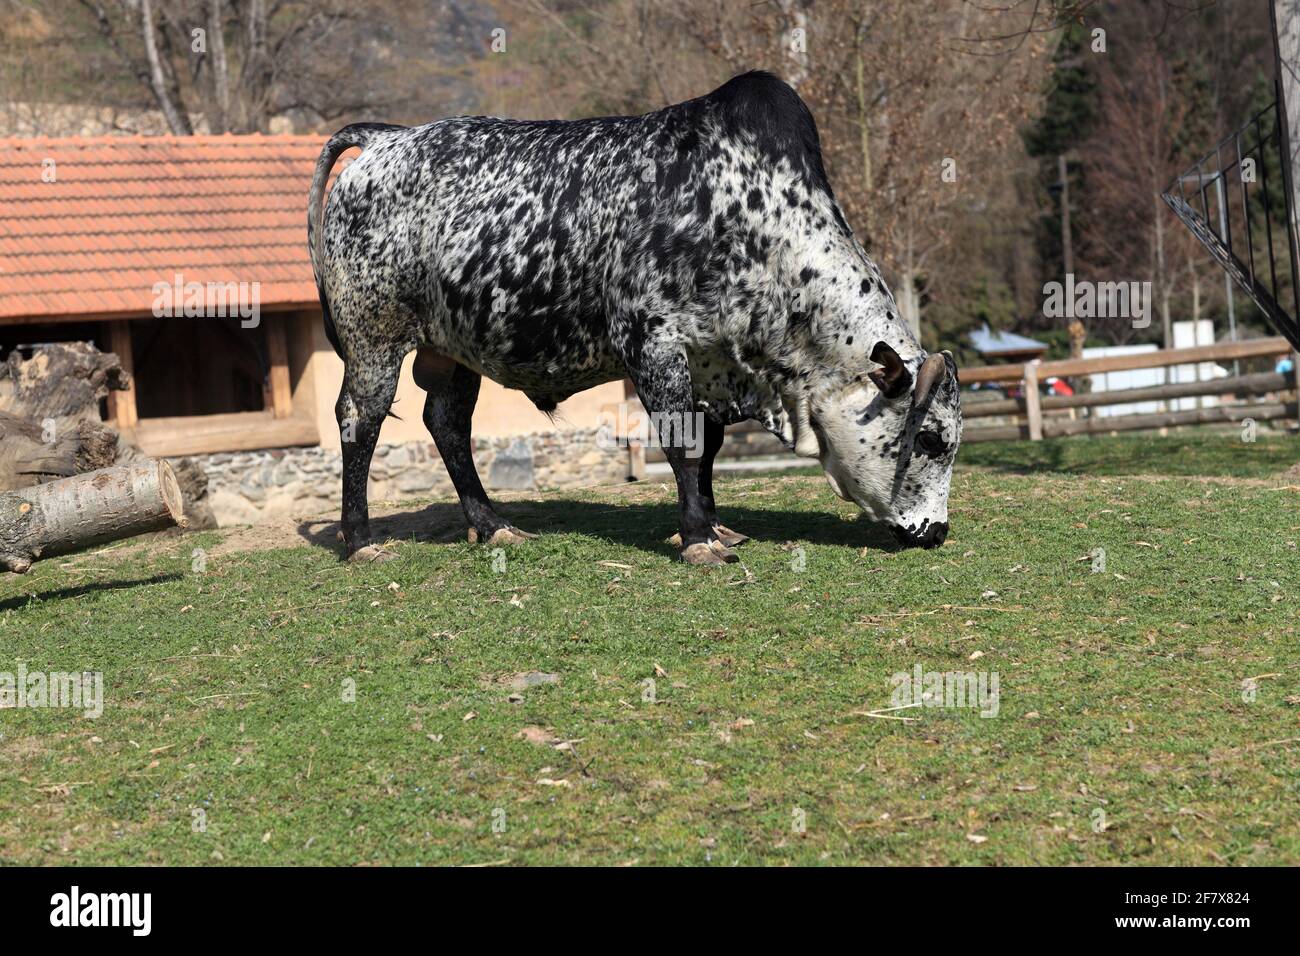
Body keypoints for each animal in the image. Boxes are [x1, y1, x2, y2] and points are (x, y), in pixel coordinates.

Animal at [307, 71, 962, 565]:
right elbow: (681, 446)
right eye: (929, 438)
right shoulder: (654, 348)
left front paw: (712, 525)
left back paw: (491, 523)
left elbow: (707, 446)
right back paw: (360, 540)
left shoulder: (711, 365)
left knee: (446, 423)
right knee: (359, 420)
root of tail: (386, 142)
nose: (935, 531)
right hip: (374, 338)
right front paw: (698, 540)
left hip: (450, 348)